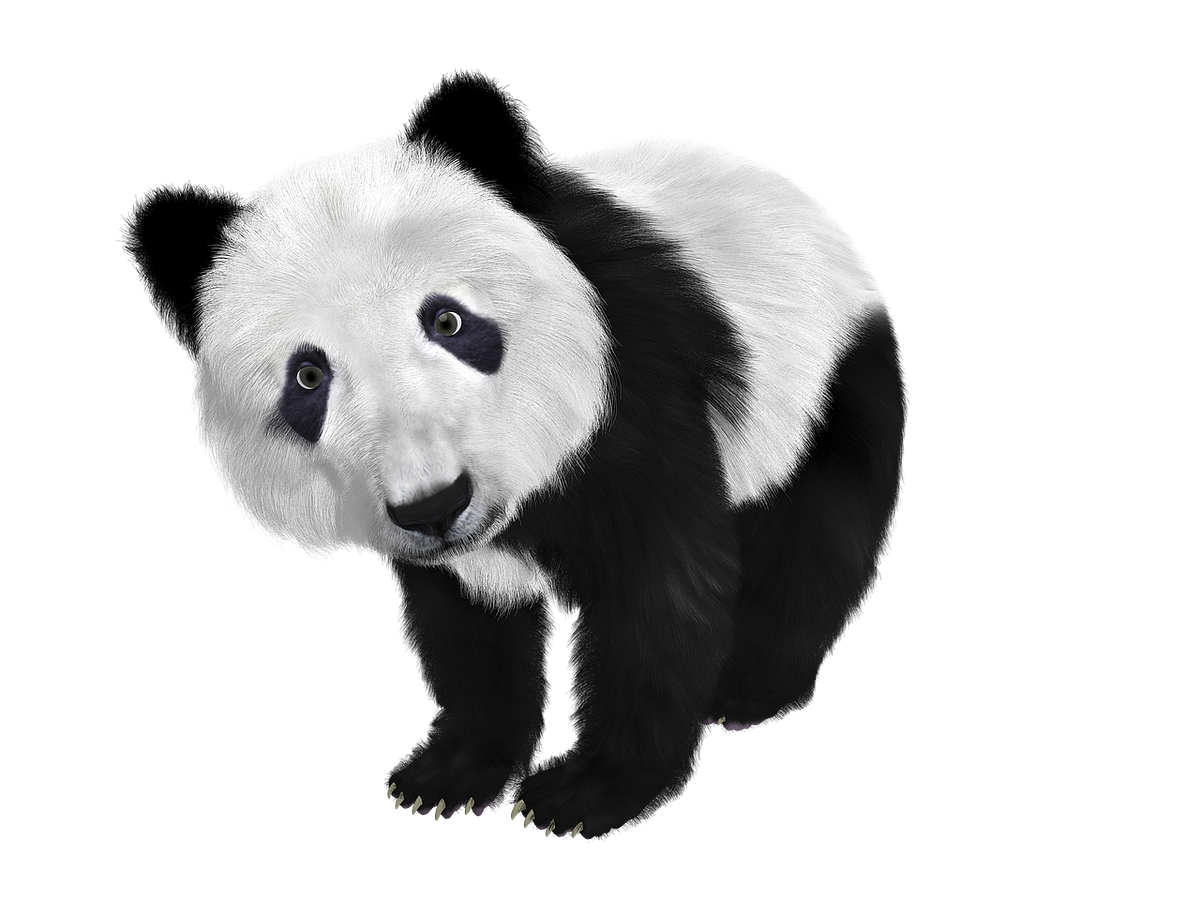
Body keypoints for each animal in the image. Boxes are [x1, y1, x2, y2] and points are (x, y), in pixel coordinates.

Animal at [189, 128, 907, 842]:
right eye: (308, 377)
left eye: (448, 321)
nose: (436, 506)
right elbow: (468, 627)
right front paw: (451, 778)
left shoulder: (636, 393)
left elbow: (652, 597)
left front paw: (589, 793)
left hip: (831, 378)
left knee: (815, 535)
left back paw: (749, 691)